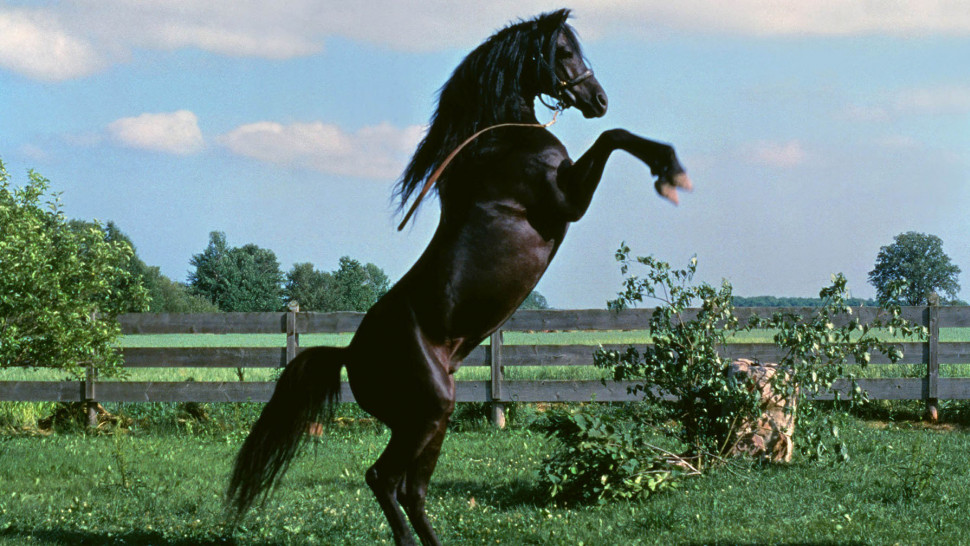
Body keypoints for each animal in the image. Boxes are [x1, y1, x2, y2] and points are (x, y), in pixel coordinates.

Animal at [227, 9, 691, 545]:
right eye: (563, 51)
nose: (598, 100)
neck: (502, 143)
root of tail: (348, 353)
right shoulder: (566, 201)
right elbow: (612, 137)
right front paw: (670, 171)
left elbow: (611, 136)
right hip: (427, 415)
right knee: (382, 478)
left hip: (431, 420)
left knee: (411, 490)